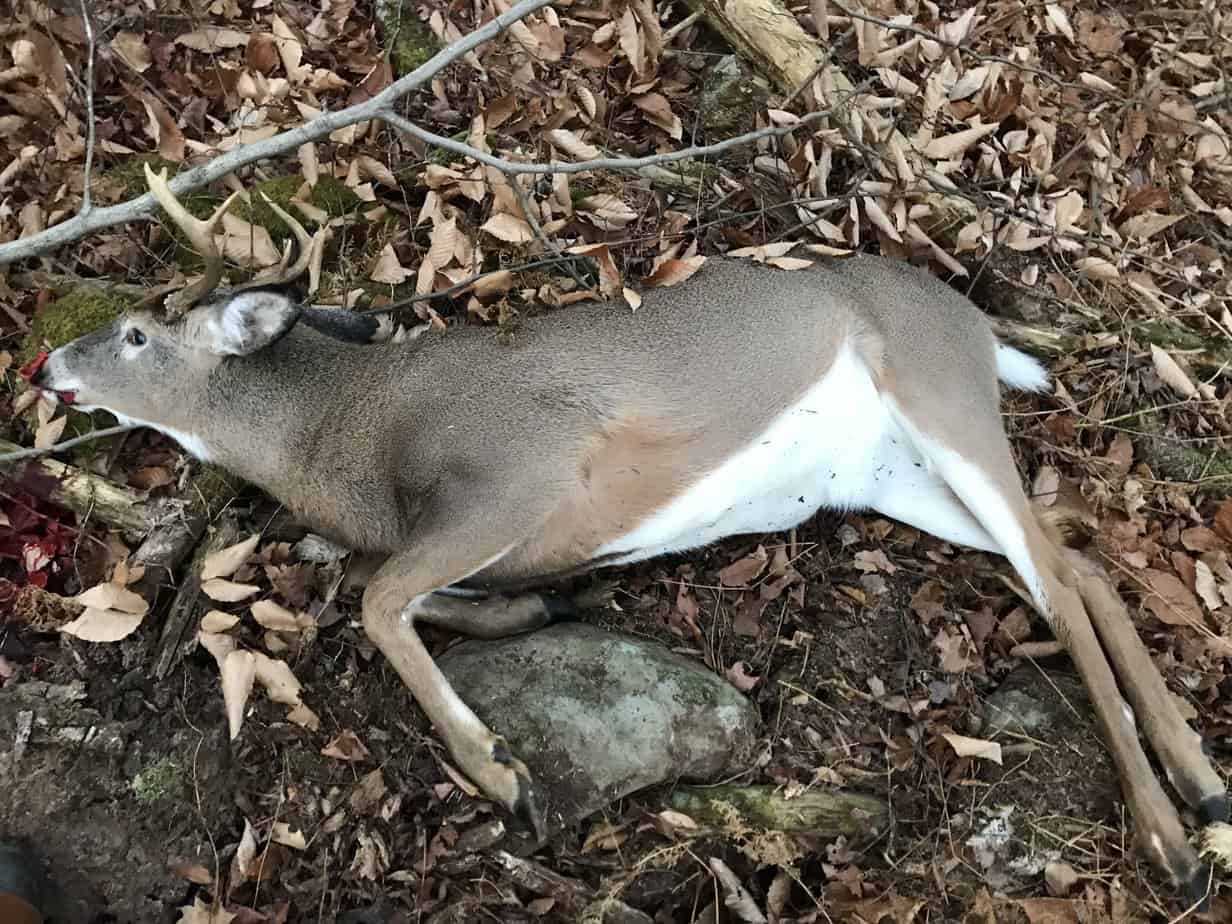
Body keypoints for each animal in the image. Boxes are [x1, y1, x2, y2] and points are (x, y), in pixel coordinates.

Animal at [22, 165, 1226, 901]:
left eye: (134, 334)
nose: (42, 364)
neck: (349, 441)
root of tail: (978, 323)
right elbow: (412, 590)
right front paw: (542, 604)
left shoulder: (522, 474)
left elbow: (376, 598)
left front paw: (499, 771)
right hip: (889, 477)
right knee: (1071, 556)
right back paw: (1201, 783)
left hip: (939, 397)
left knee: (1055, 574)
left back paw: (1172, 837)